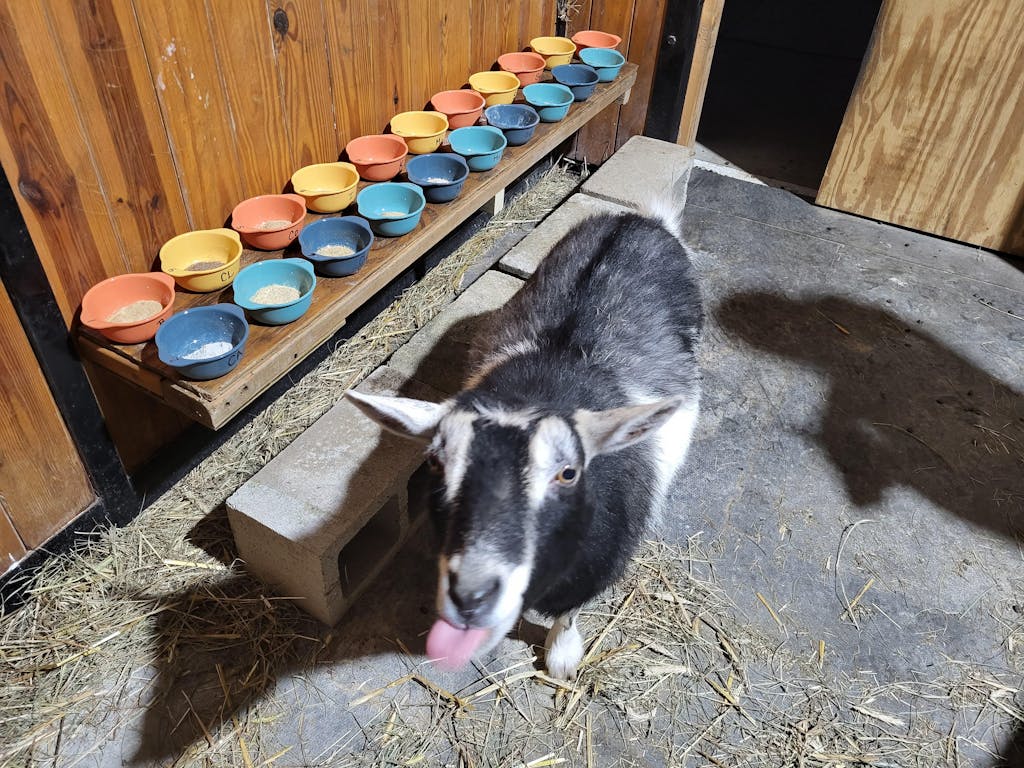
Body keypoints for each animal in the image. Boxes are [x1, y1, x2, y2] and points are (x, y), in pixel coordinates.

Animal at [347, 201, 702, 679]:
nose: (471, 596)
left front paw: (561, 656)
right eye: (437, 464)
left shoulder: (596, 562)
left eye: (568, 473)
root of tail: (639, 220)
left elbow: (569, 612)